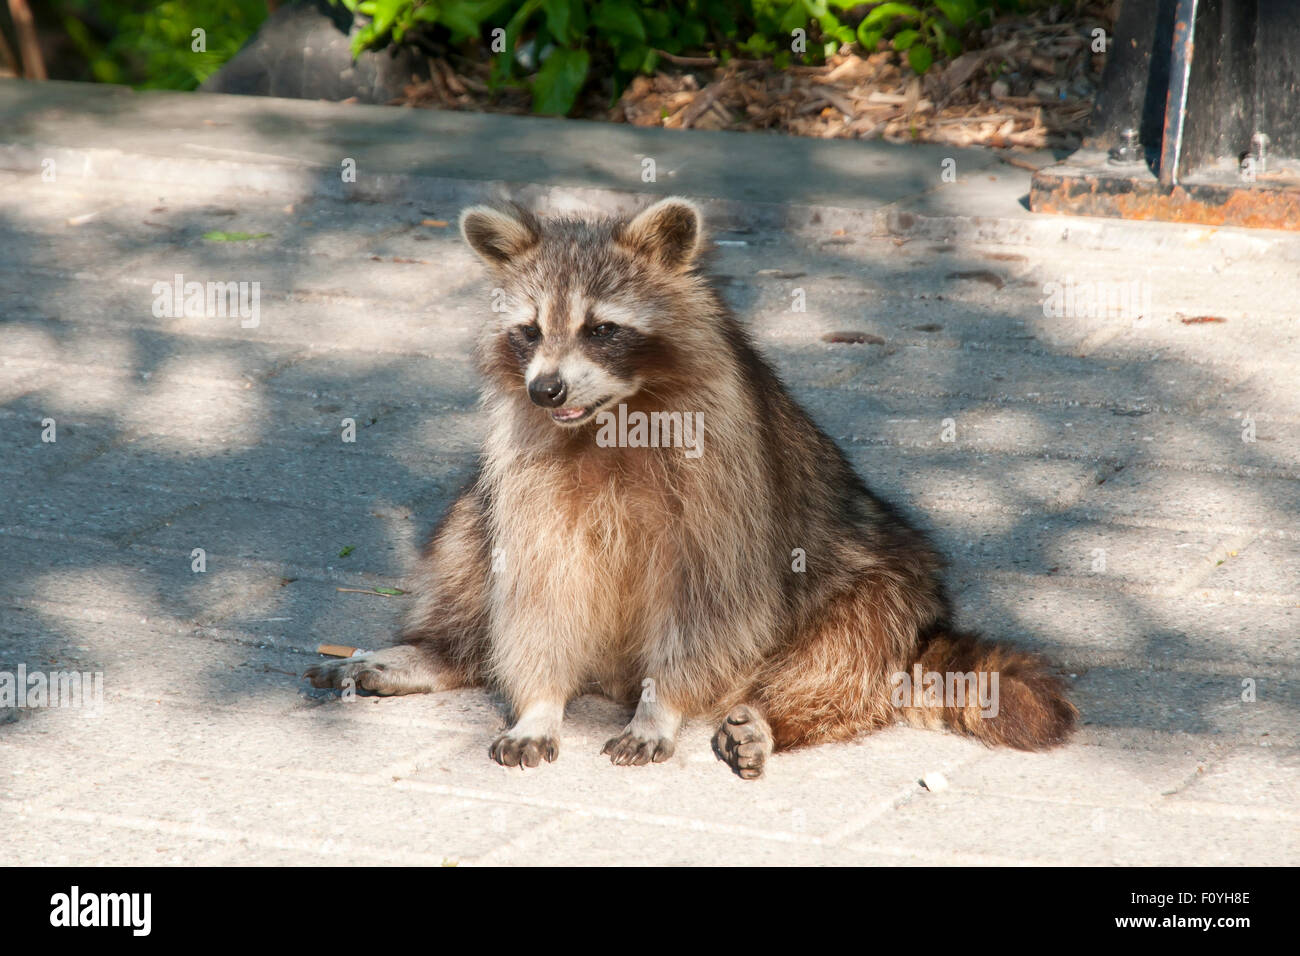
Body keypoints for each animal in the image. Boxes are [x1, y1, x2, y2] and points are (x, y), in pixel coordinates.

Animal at [305, 197, 1076, 778]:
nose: (544, 388)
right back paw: (439, 652)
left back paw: (774, 716)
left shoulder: (724, 481)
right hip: (496, 495)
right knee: (473, 528)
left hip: (883, 580)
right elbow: (535, 584)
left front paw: (662, 707)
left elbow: (710, 600)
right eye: (528, 331)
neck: (611, 417)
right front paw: (539, 702)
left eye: (602, 329)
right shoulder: (532, 466)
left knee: (849, 649)